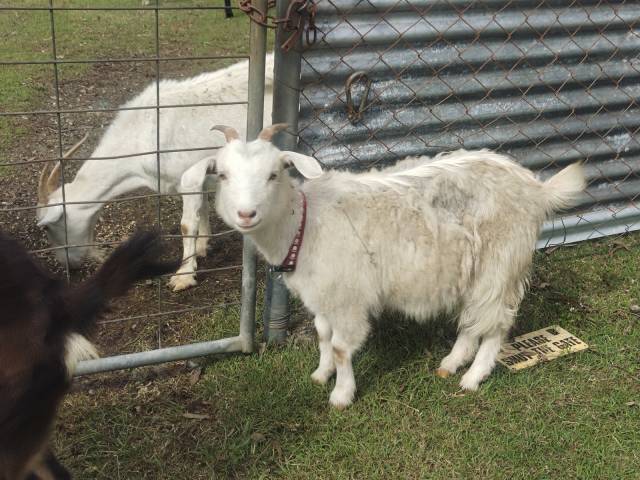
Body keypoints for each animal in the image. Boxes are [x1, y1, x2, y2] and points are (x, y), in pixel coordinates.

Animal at [36, 54, 274, 291]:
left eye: (47, 227)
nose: (69, 264)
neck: (142, 135)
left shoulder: (190, 176)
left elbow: (187, 225)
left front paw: (184, 276)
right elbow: (202, 210)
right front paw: (202, 247)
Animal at [210, 124, 586, 409]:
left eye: (273, 174)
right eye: (223, 175)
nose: (246, 214)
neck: (303, 222)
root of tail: (536, 189)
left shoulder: (348, 298)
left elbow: (341, 347)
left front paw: (341, 395)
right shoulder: (325, 296)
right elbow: (322, 336)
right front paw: (321, 374)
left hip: (500, 264)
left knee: (496, 323)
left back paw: (472, 377)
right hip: (471, 269)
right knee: (472, 320)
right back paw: (451, 363)